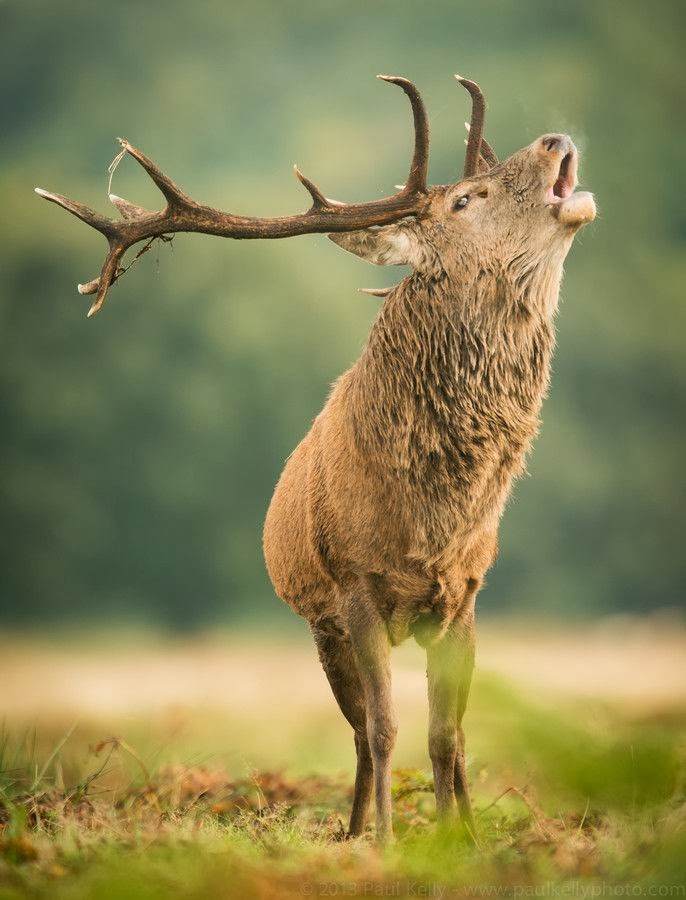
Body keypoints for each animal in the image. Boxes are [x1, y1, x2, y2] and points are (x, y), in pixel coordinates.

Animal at [35, 74, 596, 843]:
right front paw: (387, 841)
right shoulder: (355, 587)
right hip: (319, 626)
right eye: (464, 199)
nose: (555, 139)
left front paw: (463, 837)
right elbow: (386, 728)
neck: (433, 520)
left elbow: (449, 735)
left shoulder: (466, 596)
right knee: (359, 732)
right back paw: (353, 830)